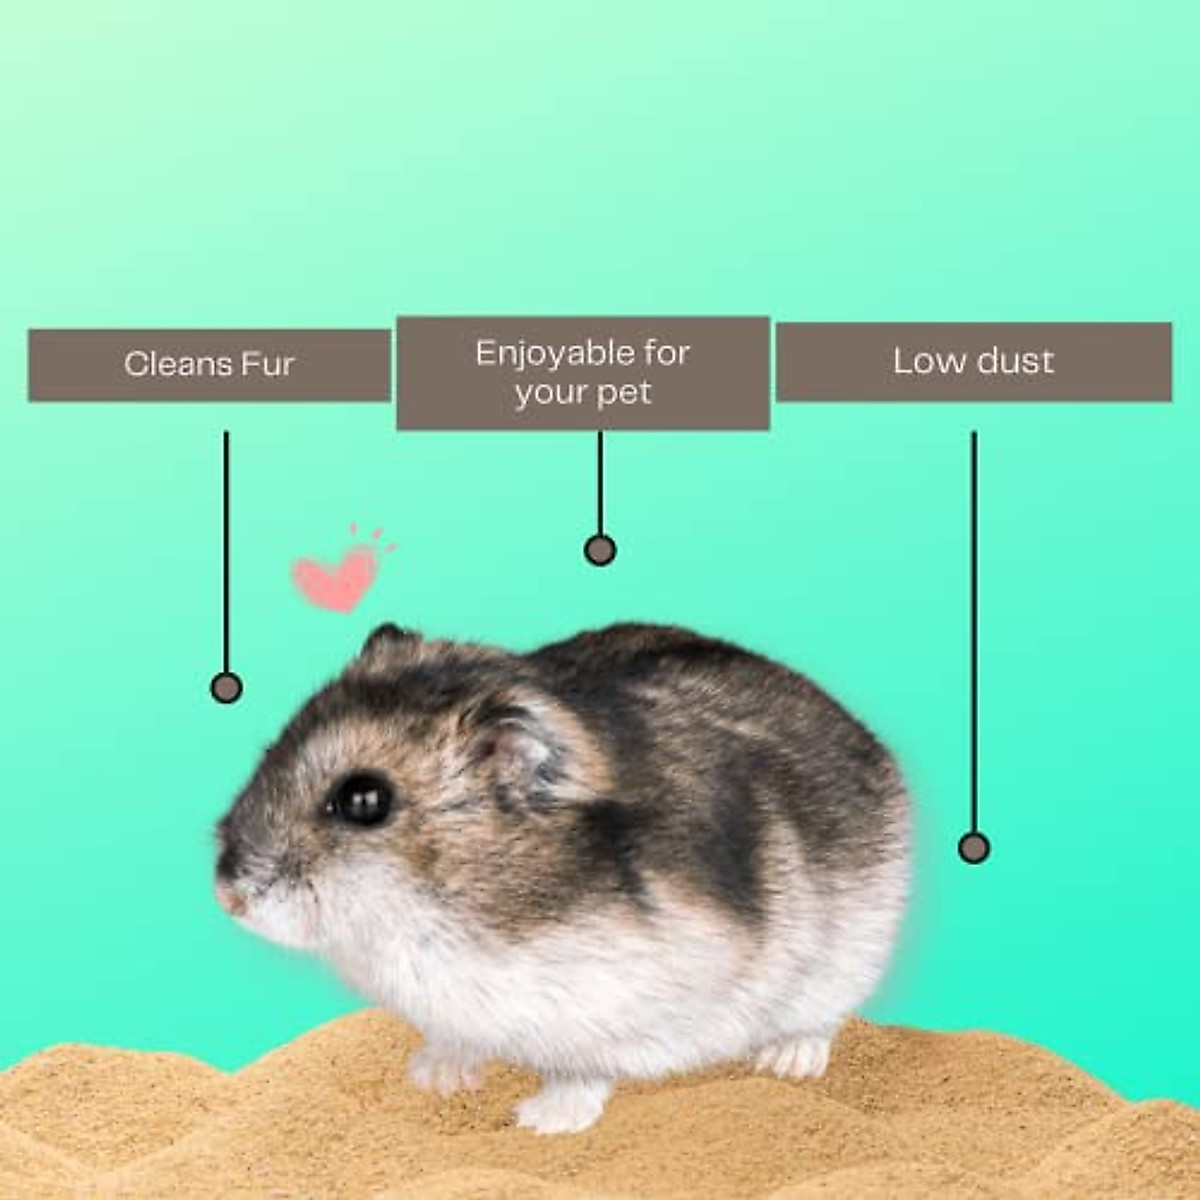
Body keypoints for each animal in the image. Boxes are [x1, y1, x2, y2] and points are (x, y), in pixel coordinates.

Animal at [214, 622, 911, 1134]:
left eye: (364, 800)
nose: (227, 896)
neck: (428, 915)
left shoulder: (623, 1004)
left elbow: (583, 1068)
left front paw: (538, 1121)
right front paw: (434, 1079)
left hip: (843, 961)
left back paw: (788, 1062)